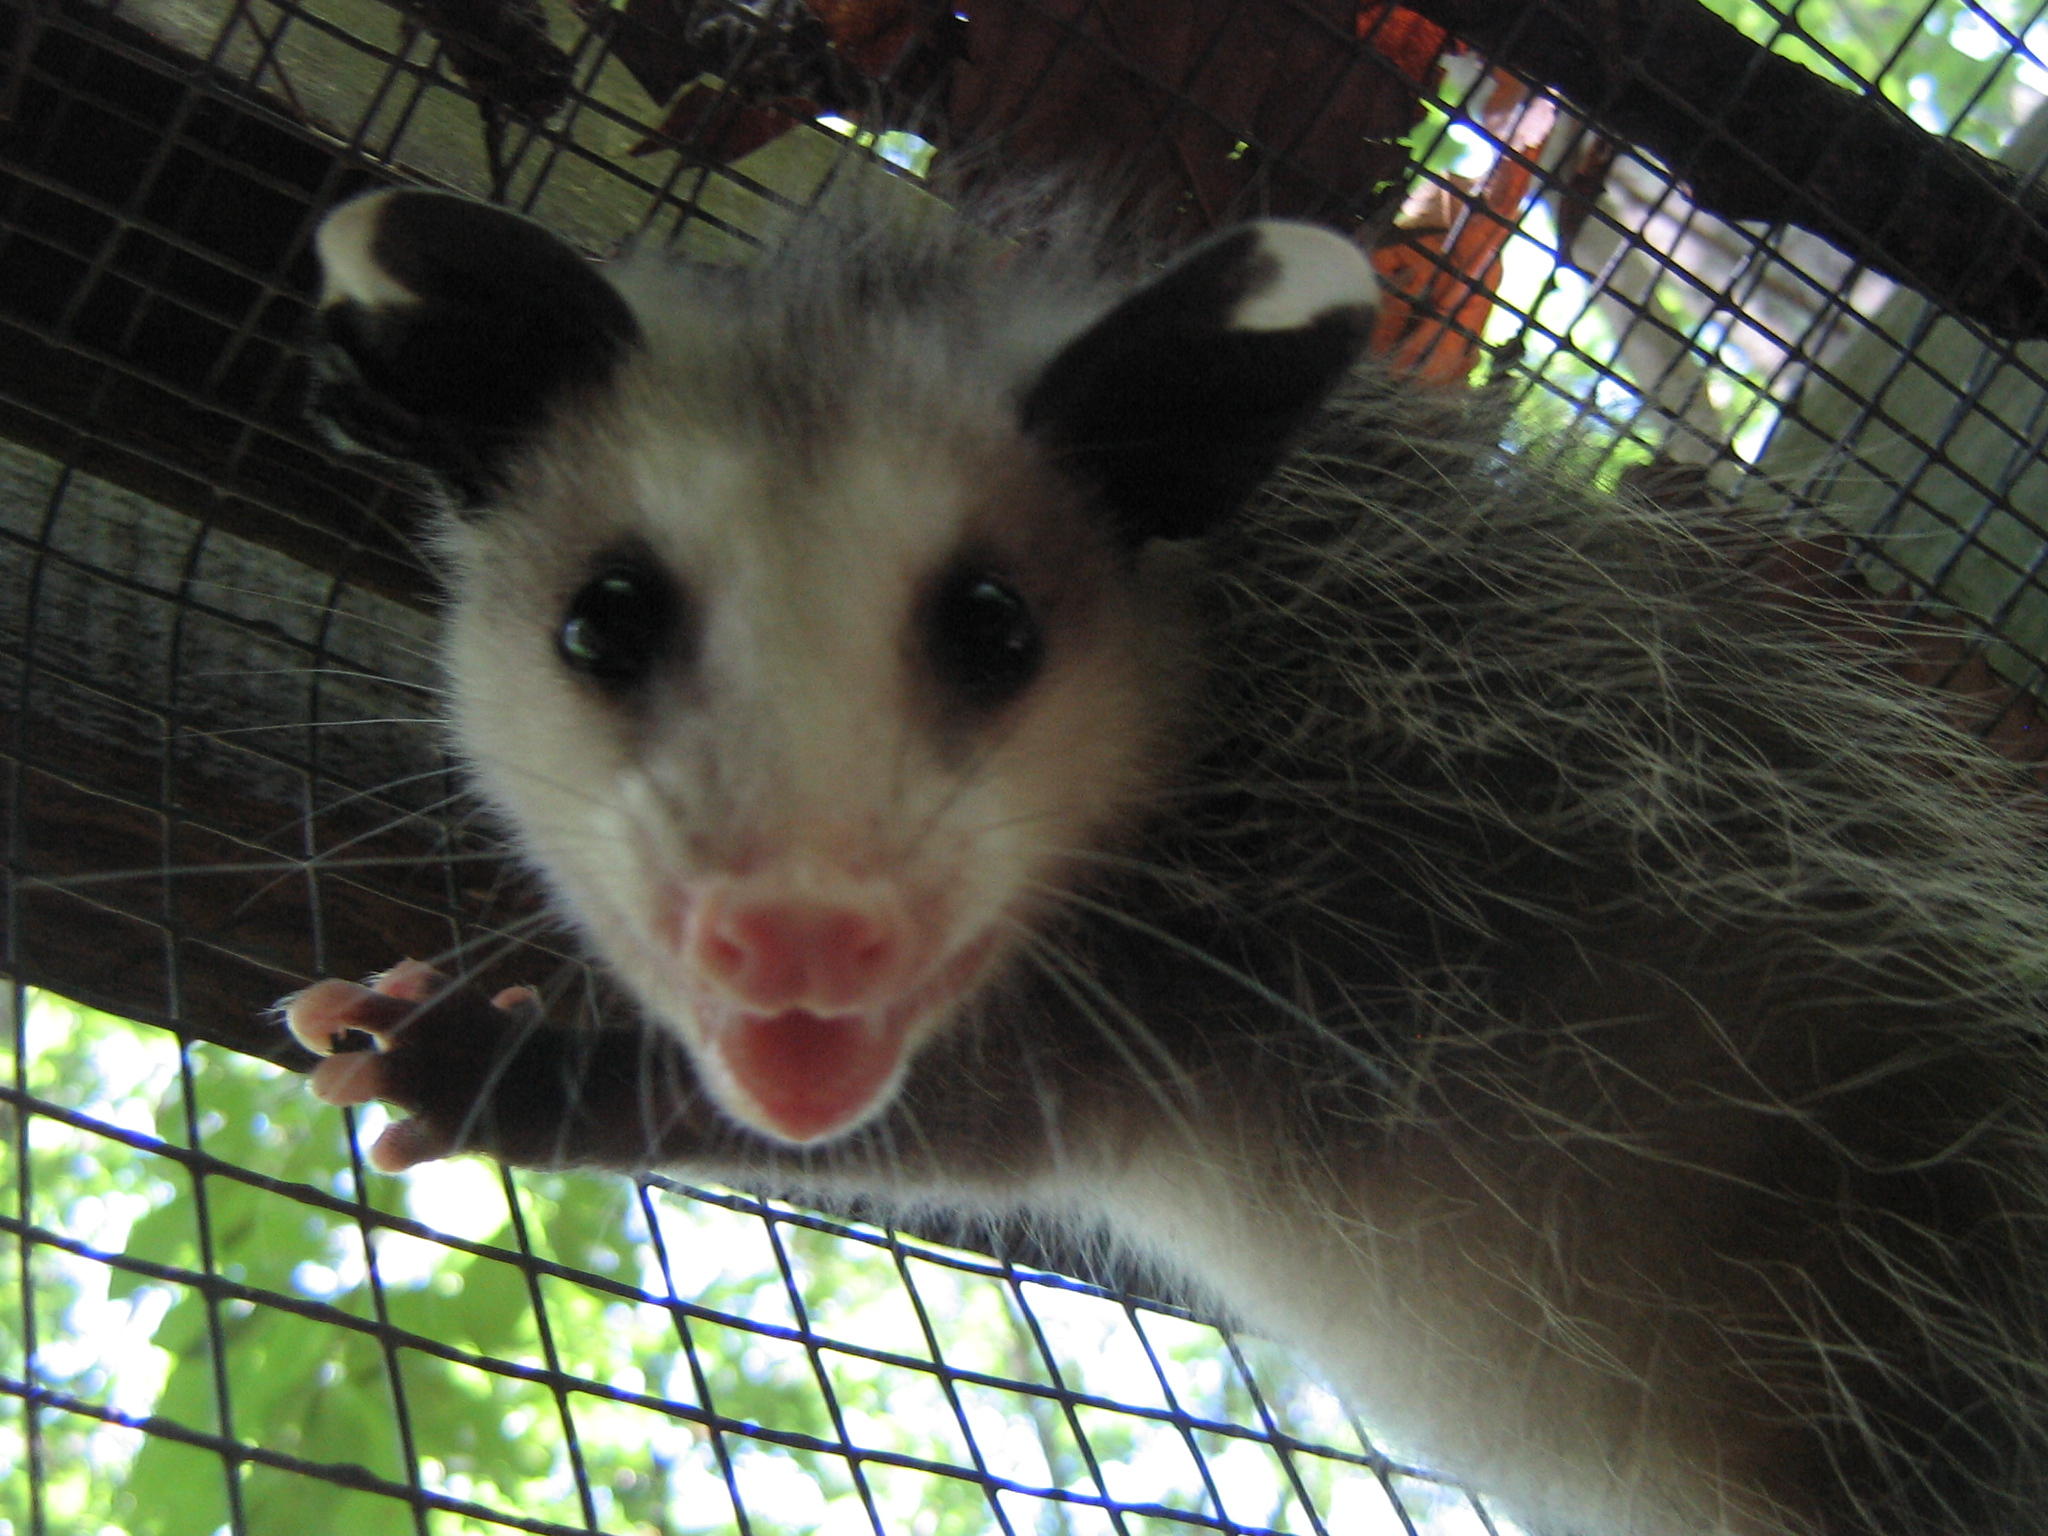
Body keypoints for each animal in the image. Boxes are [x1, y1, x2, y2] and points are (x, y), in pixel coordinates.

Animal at [284, 184, 2048, 1536]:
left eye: (996, 626)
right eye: (603, 619)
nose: (799, 938)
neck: (1229, 700)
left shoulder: (1245, 965)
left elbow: (952, 1121)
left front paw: (481, 1063)